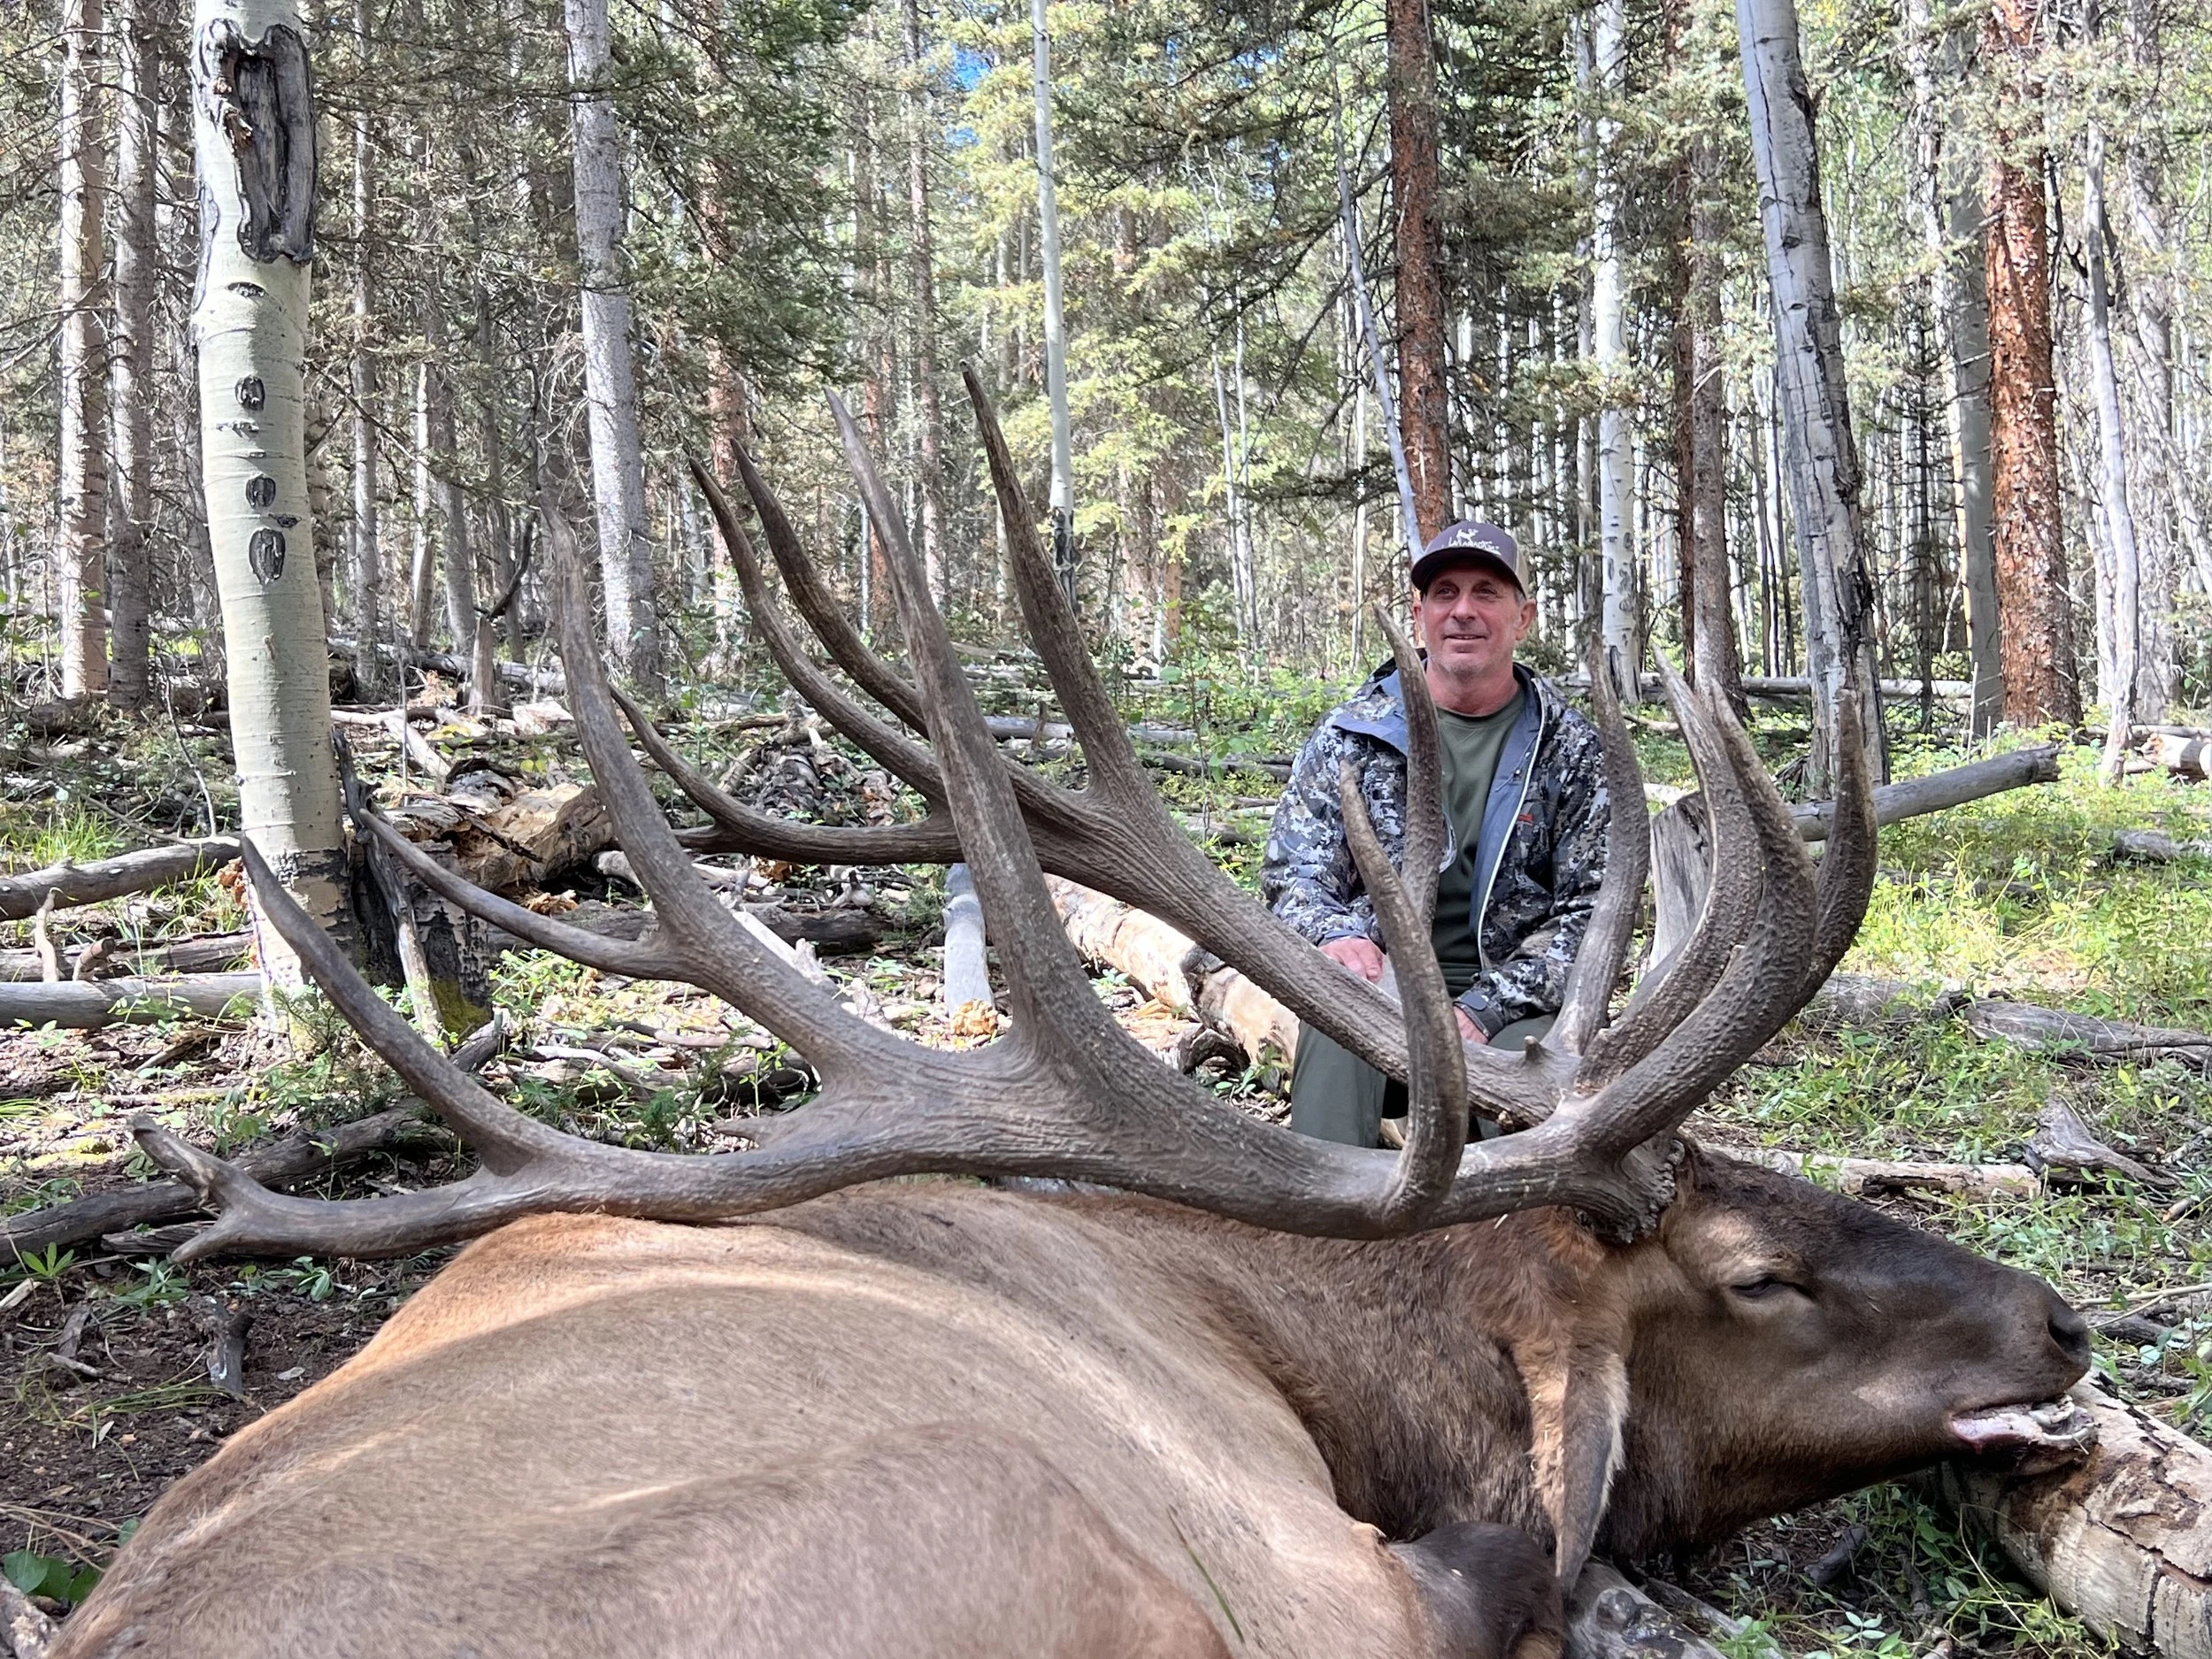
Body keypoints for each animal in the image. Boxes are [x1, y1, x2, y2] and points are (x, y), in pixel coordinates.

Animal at [47, 375, 2095, 1659]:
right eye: (1754, 1273)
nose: (2061, 1318)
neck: (1295, 1336)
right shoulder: (1283, 1540)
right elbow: (1516, 1551)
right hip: (1014, 1510)